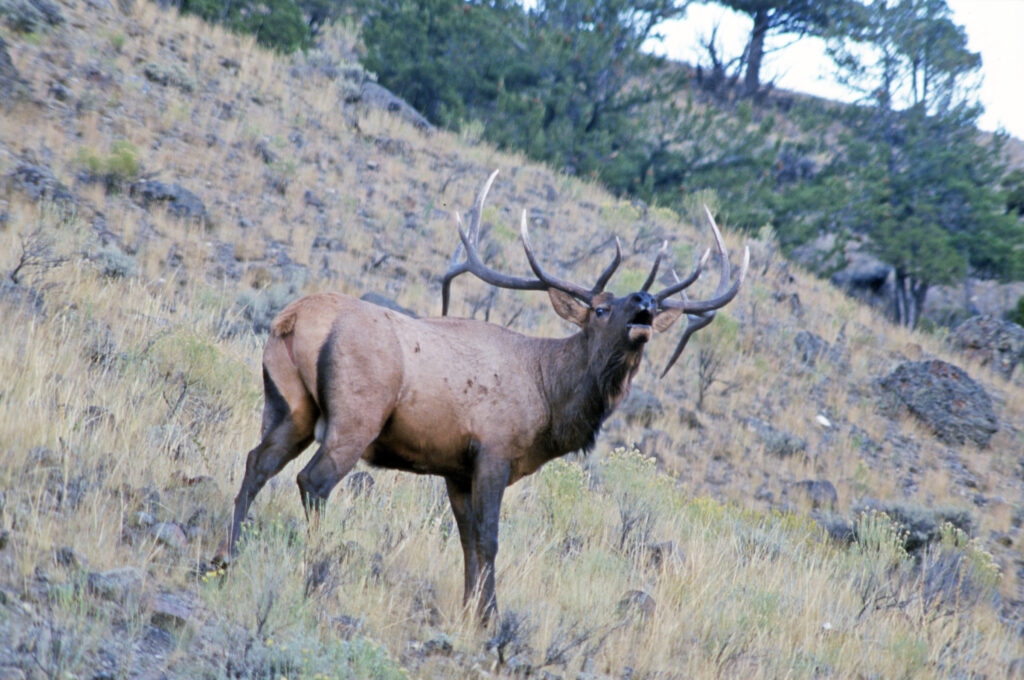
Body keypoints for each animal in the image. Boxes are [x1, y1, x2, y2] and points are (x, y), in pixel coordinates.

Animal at [215, 171, 749, 619]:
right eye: (600, 308)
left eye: (637, 302)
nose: (646, 301)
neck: (548, 398)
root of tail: (293, 319)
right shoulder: (493, 450)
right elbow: (489, 540)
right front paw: (488, 618)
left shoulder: (455, 467)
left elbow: (467, 542)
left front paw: (471, 609)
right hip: (355, 415)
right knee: (313, 481)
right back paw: (315, 565)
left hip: (288, 405)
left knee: (257, 461)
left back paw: (227, 555)